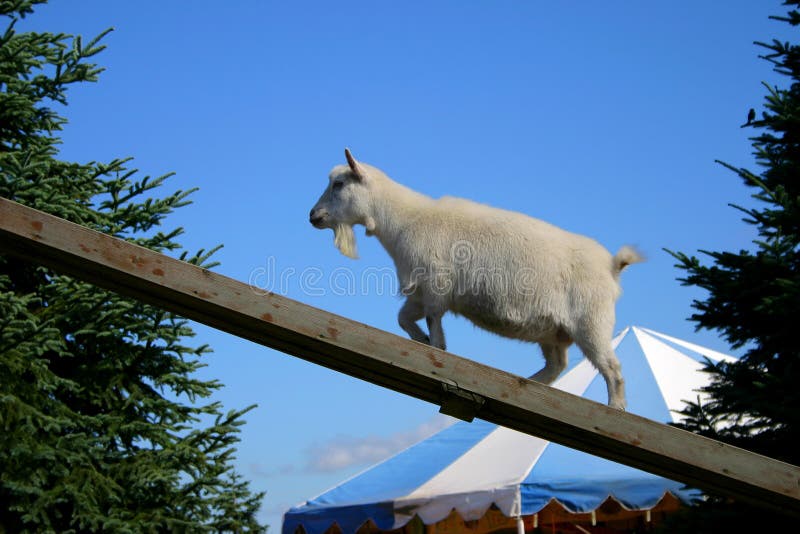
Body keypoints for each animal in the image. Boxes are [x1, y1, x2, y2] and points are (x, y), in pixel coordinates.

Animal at [309, 149, 642, 409]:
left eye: (339, 183)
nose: (313, 216)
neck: (403, 221)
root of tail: (612, 265)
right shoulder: (419, 292)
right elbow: (403, 319)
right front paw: (421, 339)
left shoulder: (436, 286)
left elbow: (433, 321)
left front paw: (436, 347)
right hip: (554, 331)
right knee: (556, 365)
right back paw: (528, 384)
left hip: (591, 322)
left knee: (613, 370)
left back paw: (616, 408)